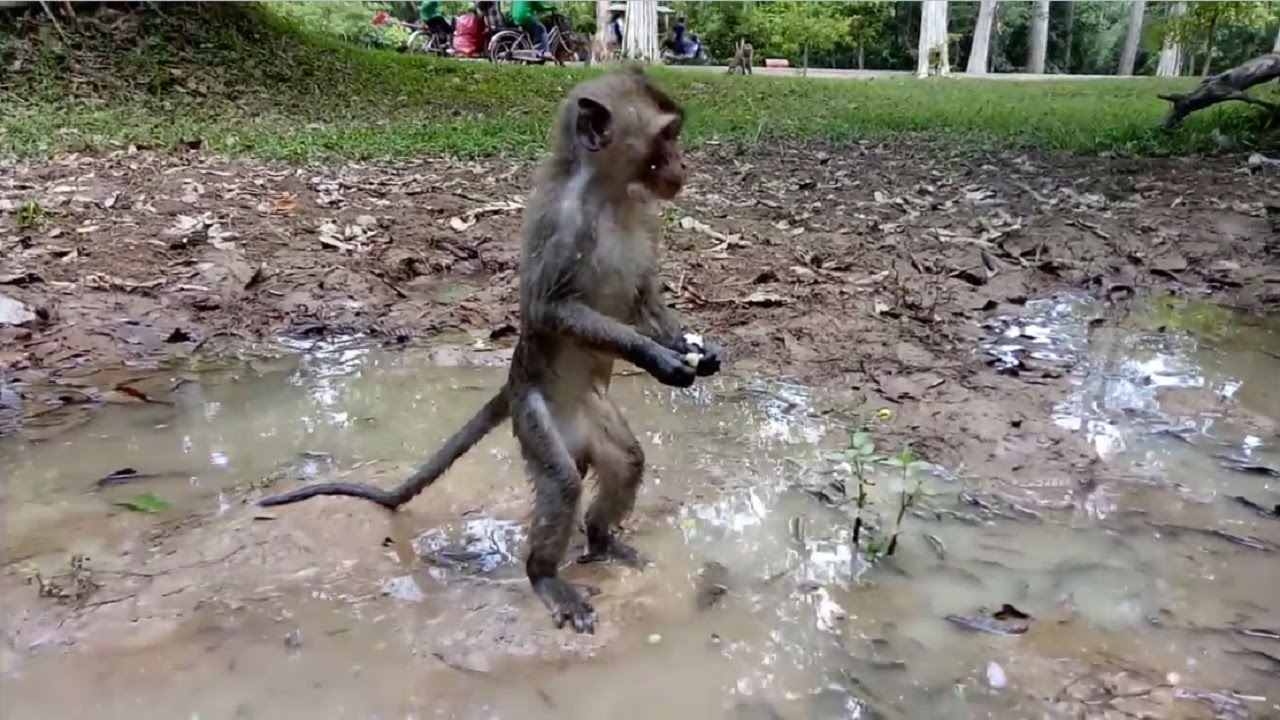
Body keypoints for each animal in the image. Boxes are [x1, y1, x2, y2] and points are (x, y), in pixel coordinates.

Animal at [258, 65, 722, 635]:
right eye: (666, 137)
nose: (683, 163)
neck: (608, 195)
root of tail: (515, 380)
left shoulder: (644, 217)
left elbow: (642, 298)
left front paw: (694, 349)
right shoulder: (565, 223)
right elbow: (551, 310)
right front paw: (657, 359)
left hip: (592, 413)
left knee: (626, 461)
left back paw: (600, 539)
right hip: (533, 414)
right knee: (562, 482)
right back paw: (544, 574)